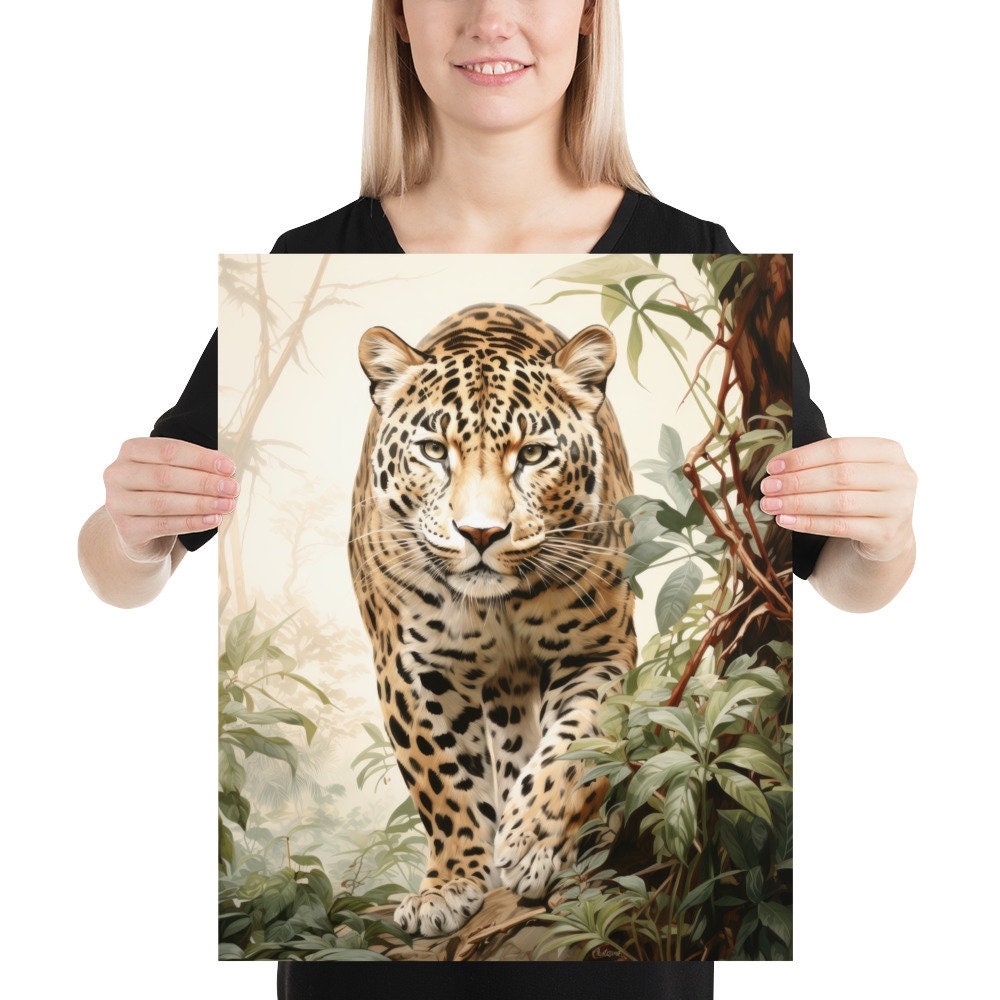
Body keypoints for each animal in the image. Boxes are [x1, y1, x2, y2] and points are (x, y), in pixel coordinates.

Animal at [347, 303, 637, 939]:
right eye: (434, 451)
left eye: (532, 455)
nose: (480, 534)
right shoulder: (412, 668)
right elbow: (442, 779)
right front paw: (447, 886)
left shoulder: (597, 651)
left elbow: (573, 744)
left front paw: (531, 843)